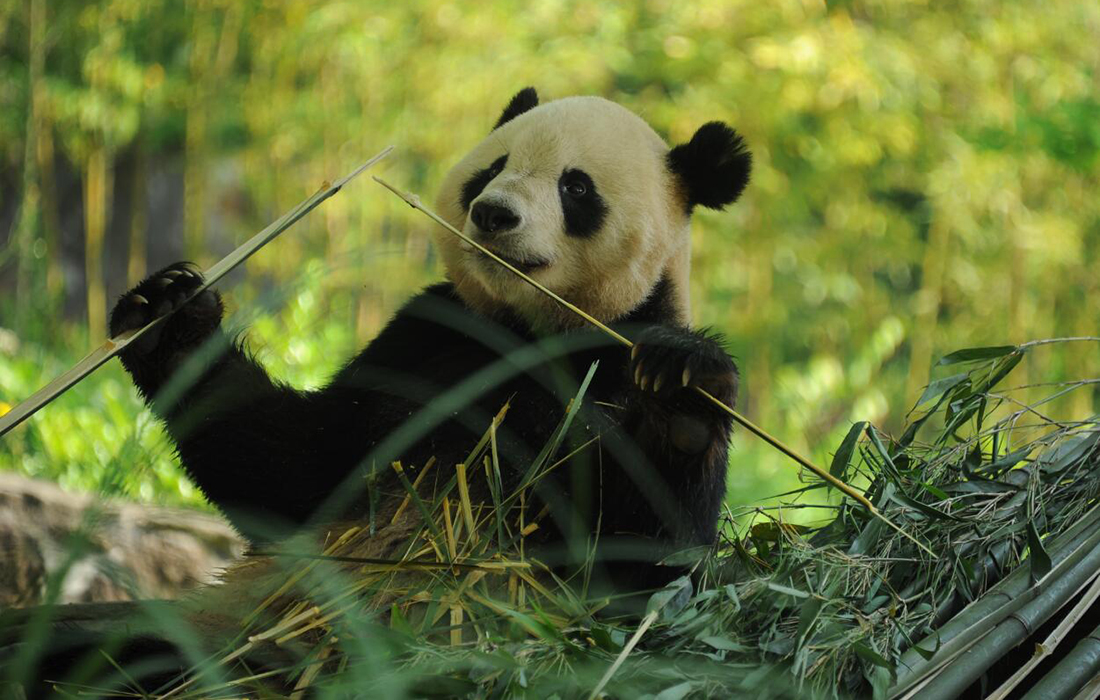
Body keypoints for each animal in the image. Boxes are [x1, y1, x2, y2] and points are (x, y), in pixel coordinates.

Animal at [56, 87, 751, 689]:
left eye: (575, 186)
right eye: (493, 166)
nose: (492, 213)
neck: (527, 330)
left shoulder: (610, 357)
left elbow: (647, 563)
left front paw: (683, 394)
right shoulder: (425, 337)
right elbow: (302, 470)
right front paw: (169, 318)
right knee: (113, 643)